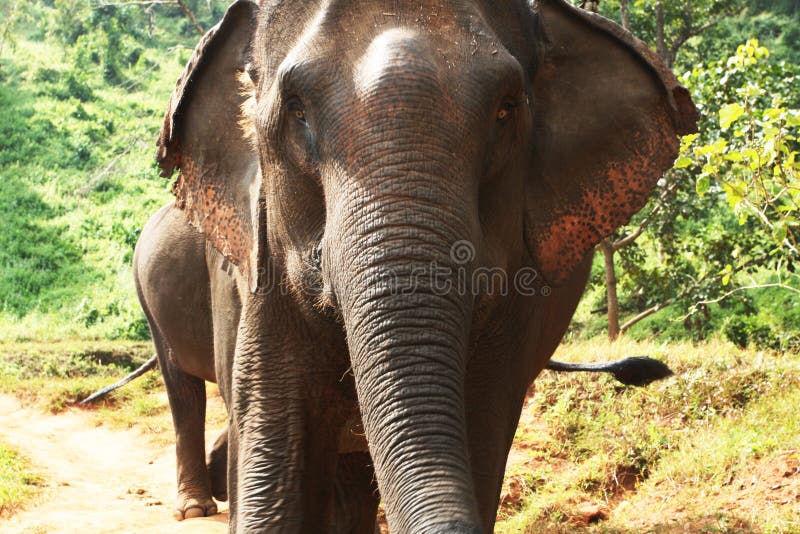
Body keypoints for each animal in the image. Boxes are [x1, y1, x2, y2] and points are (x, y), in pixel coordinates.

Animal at [133, 0, 697, 531]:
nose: (646, 369)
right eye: (297, 112)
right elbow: (274, 445)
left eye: (505, 110)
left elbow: (480, 426)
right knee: (182, 386)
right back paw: (193, 508)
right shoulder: (253, 271)